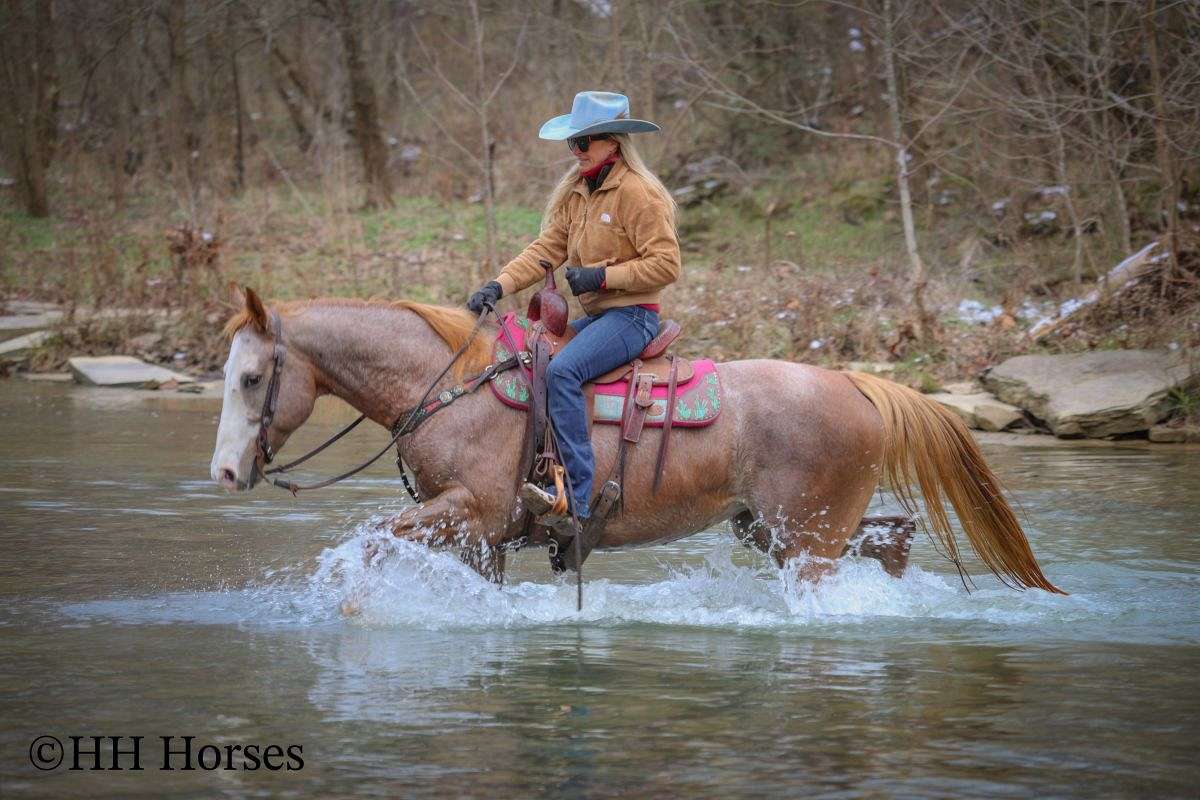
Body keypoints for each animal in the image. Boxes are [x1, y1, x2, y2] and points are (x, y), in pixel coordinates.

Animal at [209, 286, 1063, 595]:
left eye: (251, 378)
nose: (222, 472)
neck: (452, 388)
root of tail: (855, 384)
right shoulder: (477, 538)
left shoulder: (469, 512)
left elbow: (369, 541)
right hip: (774, 530)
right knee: (892, 534)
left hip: (807, 537)